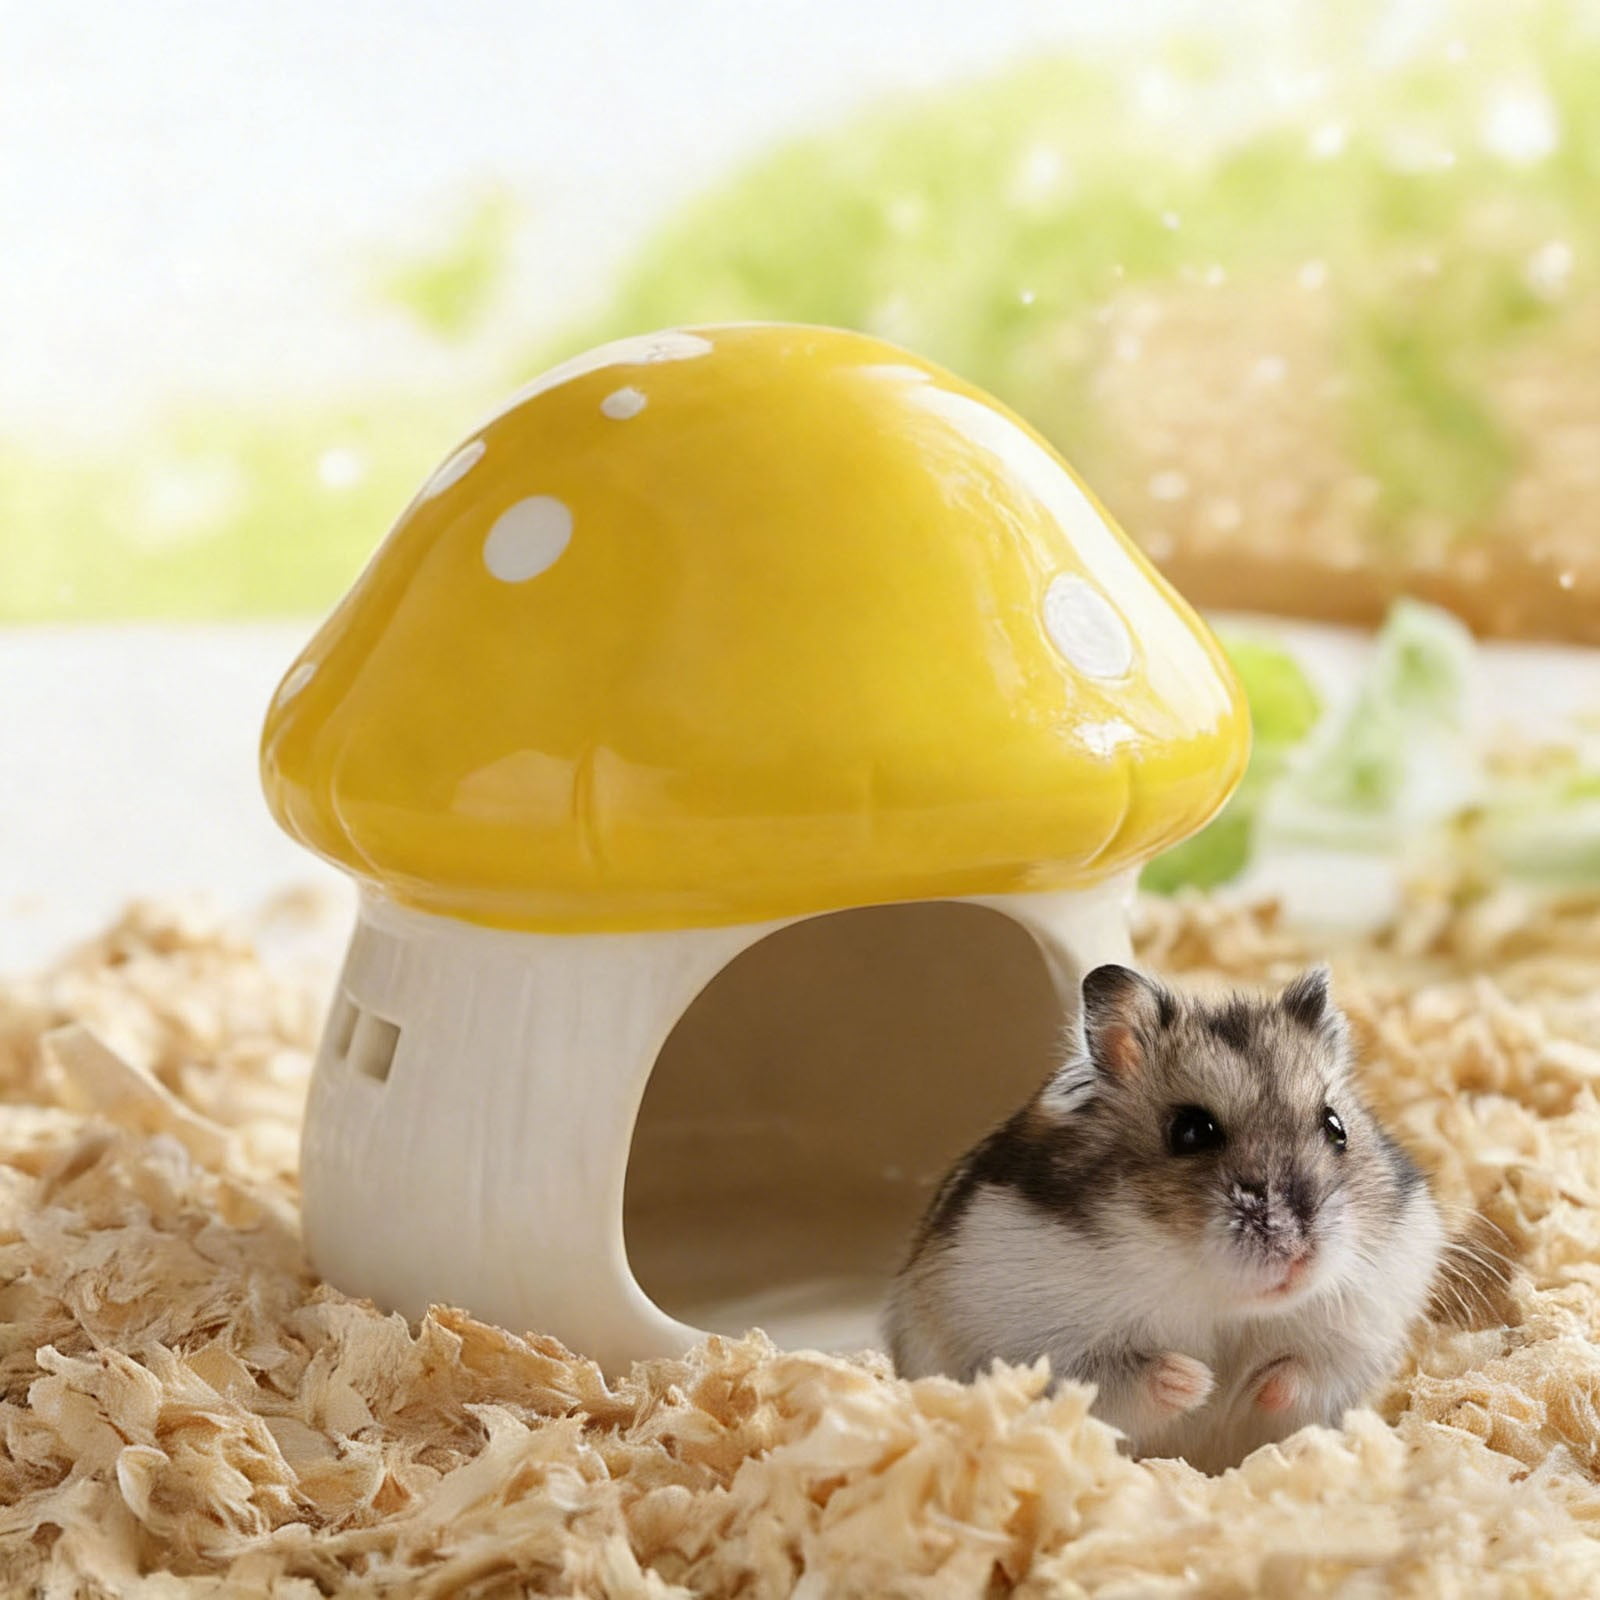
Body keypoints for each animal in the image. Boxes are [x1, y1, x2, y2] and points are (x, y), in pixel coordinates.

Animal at [883, 963, 1445, 1473]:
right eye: (1191, 1132)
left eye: (1336, 1127)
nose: (1297, 1258)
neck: (1216, 1299)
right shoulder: (1031, 1343)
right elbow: (1112, 1380)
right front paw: (1200, 1382)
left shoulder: (1364, 1332)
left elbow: (1306, 1372)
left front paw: (1251, 1386)